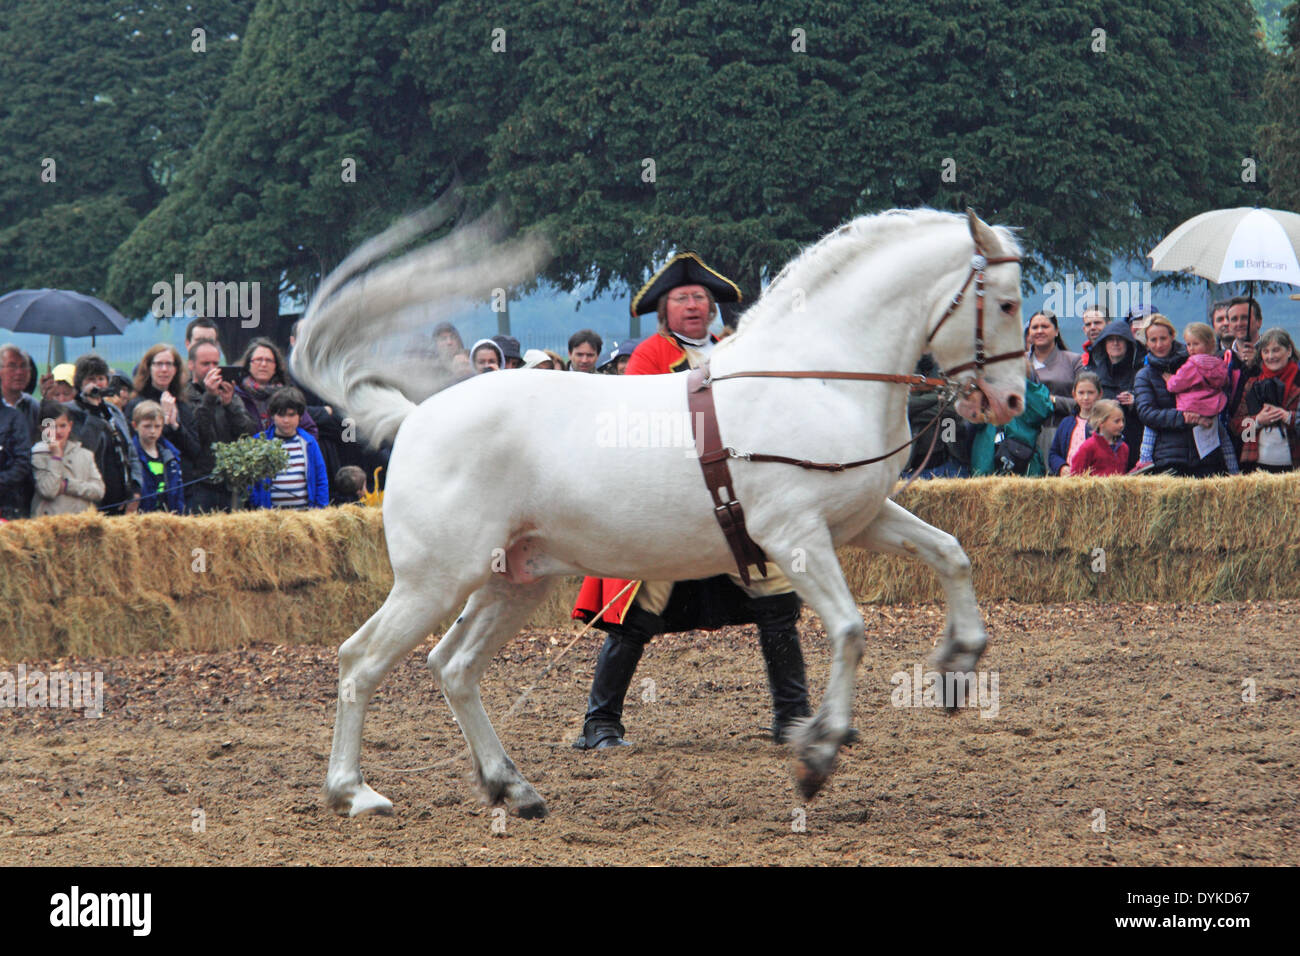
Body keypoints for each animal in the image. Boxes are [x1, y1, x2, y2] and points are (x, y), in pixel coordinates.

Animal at [292, 206, 1025, 819]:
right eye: (1008, 302)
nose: (1012, 400)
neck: (816, 377)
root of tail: (415, 417)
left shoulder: (857, 521)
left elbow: (951, 553)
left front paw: (957, 666)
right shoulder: (795, 535)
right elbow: (849, 630)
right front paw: (817, 756)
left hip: (513, 581)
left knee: (453, 667)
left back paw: (512, 787)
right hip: (435, 581)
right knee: (360, 661)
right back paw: (353, 793)